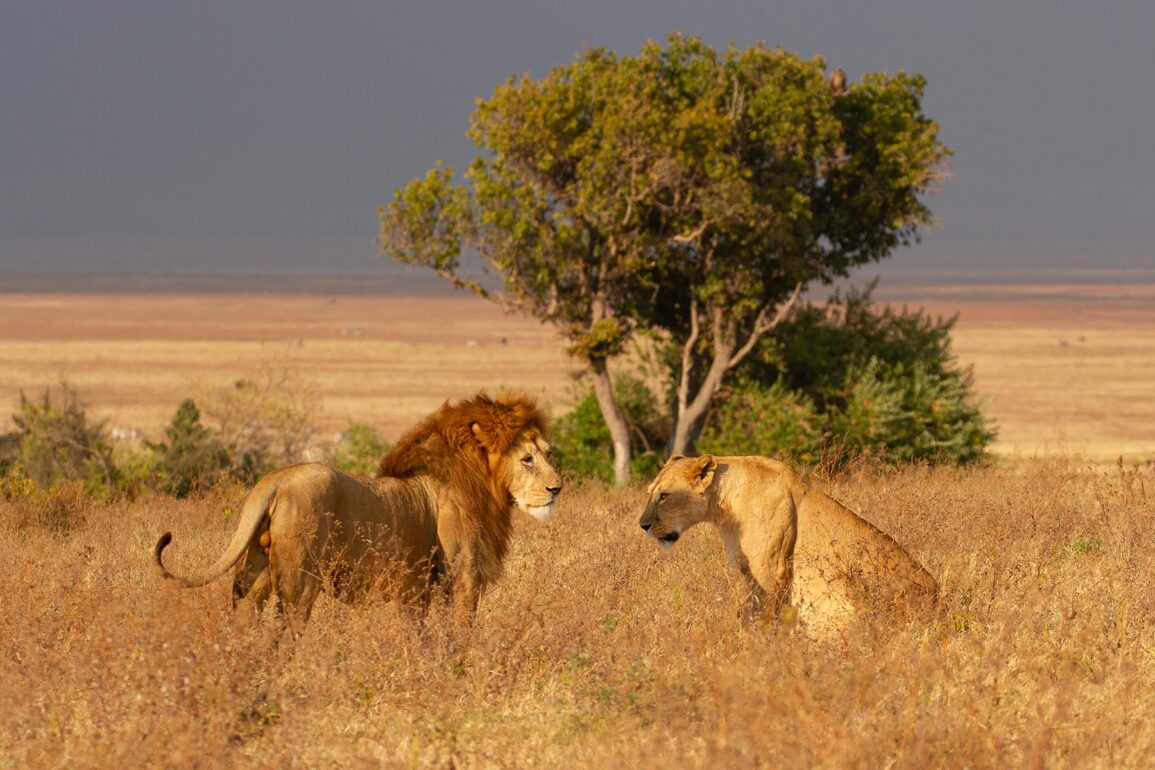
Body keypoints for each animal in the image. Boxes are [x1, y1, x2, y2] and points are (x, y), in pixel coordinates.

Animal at [154, 392, 562, 636]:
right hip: (300, 581)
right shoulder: (463, 578)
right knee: (282, 634)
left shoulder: (415, 591)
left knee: (242, 626)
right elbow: (459, 636)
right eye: (527, 459)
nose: (557, 488)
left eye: (548, 453)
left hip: (253, 573)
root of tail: (275, 481)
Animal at [639, 454, 937, 637]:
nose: (642, 525)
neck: (723, 504)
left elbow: (753, 618)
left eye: (664, 496)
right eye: (650, 493)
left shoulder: (768, 572)